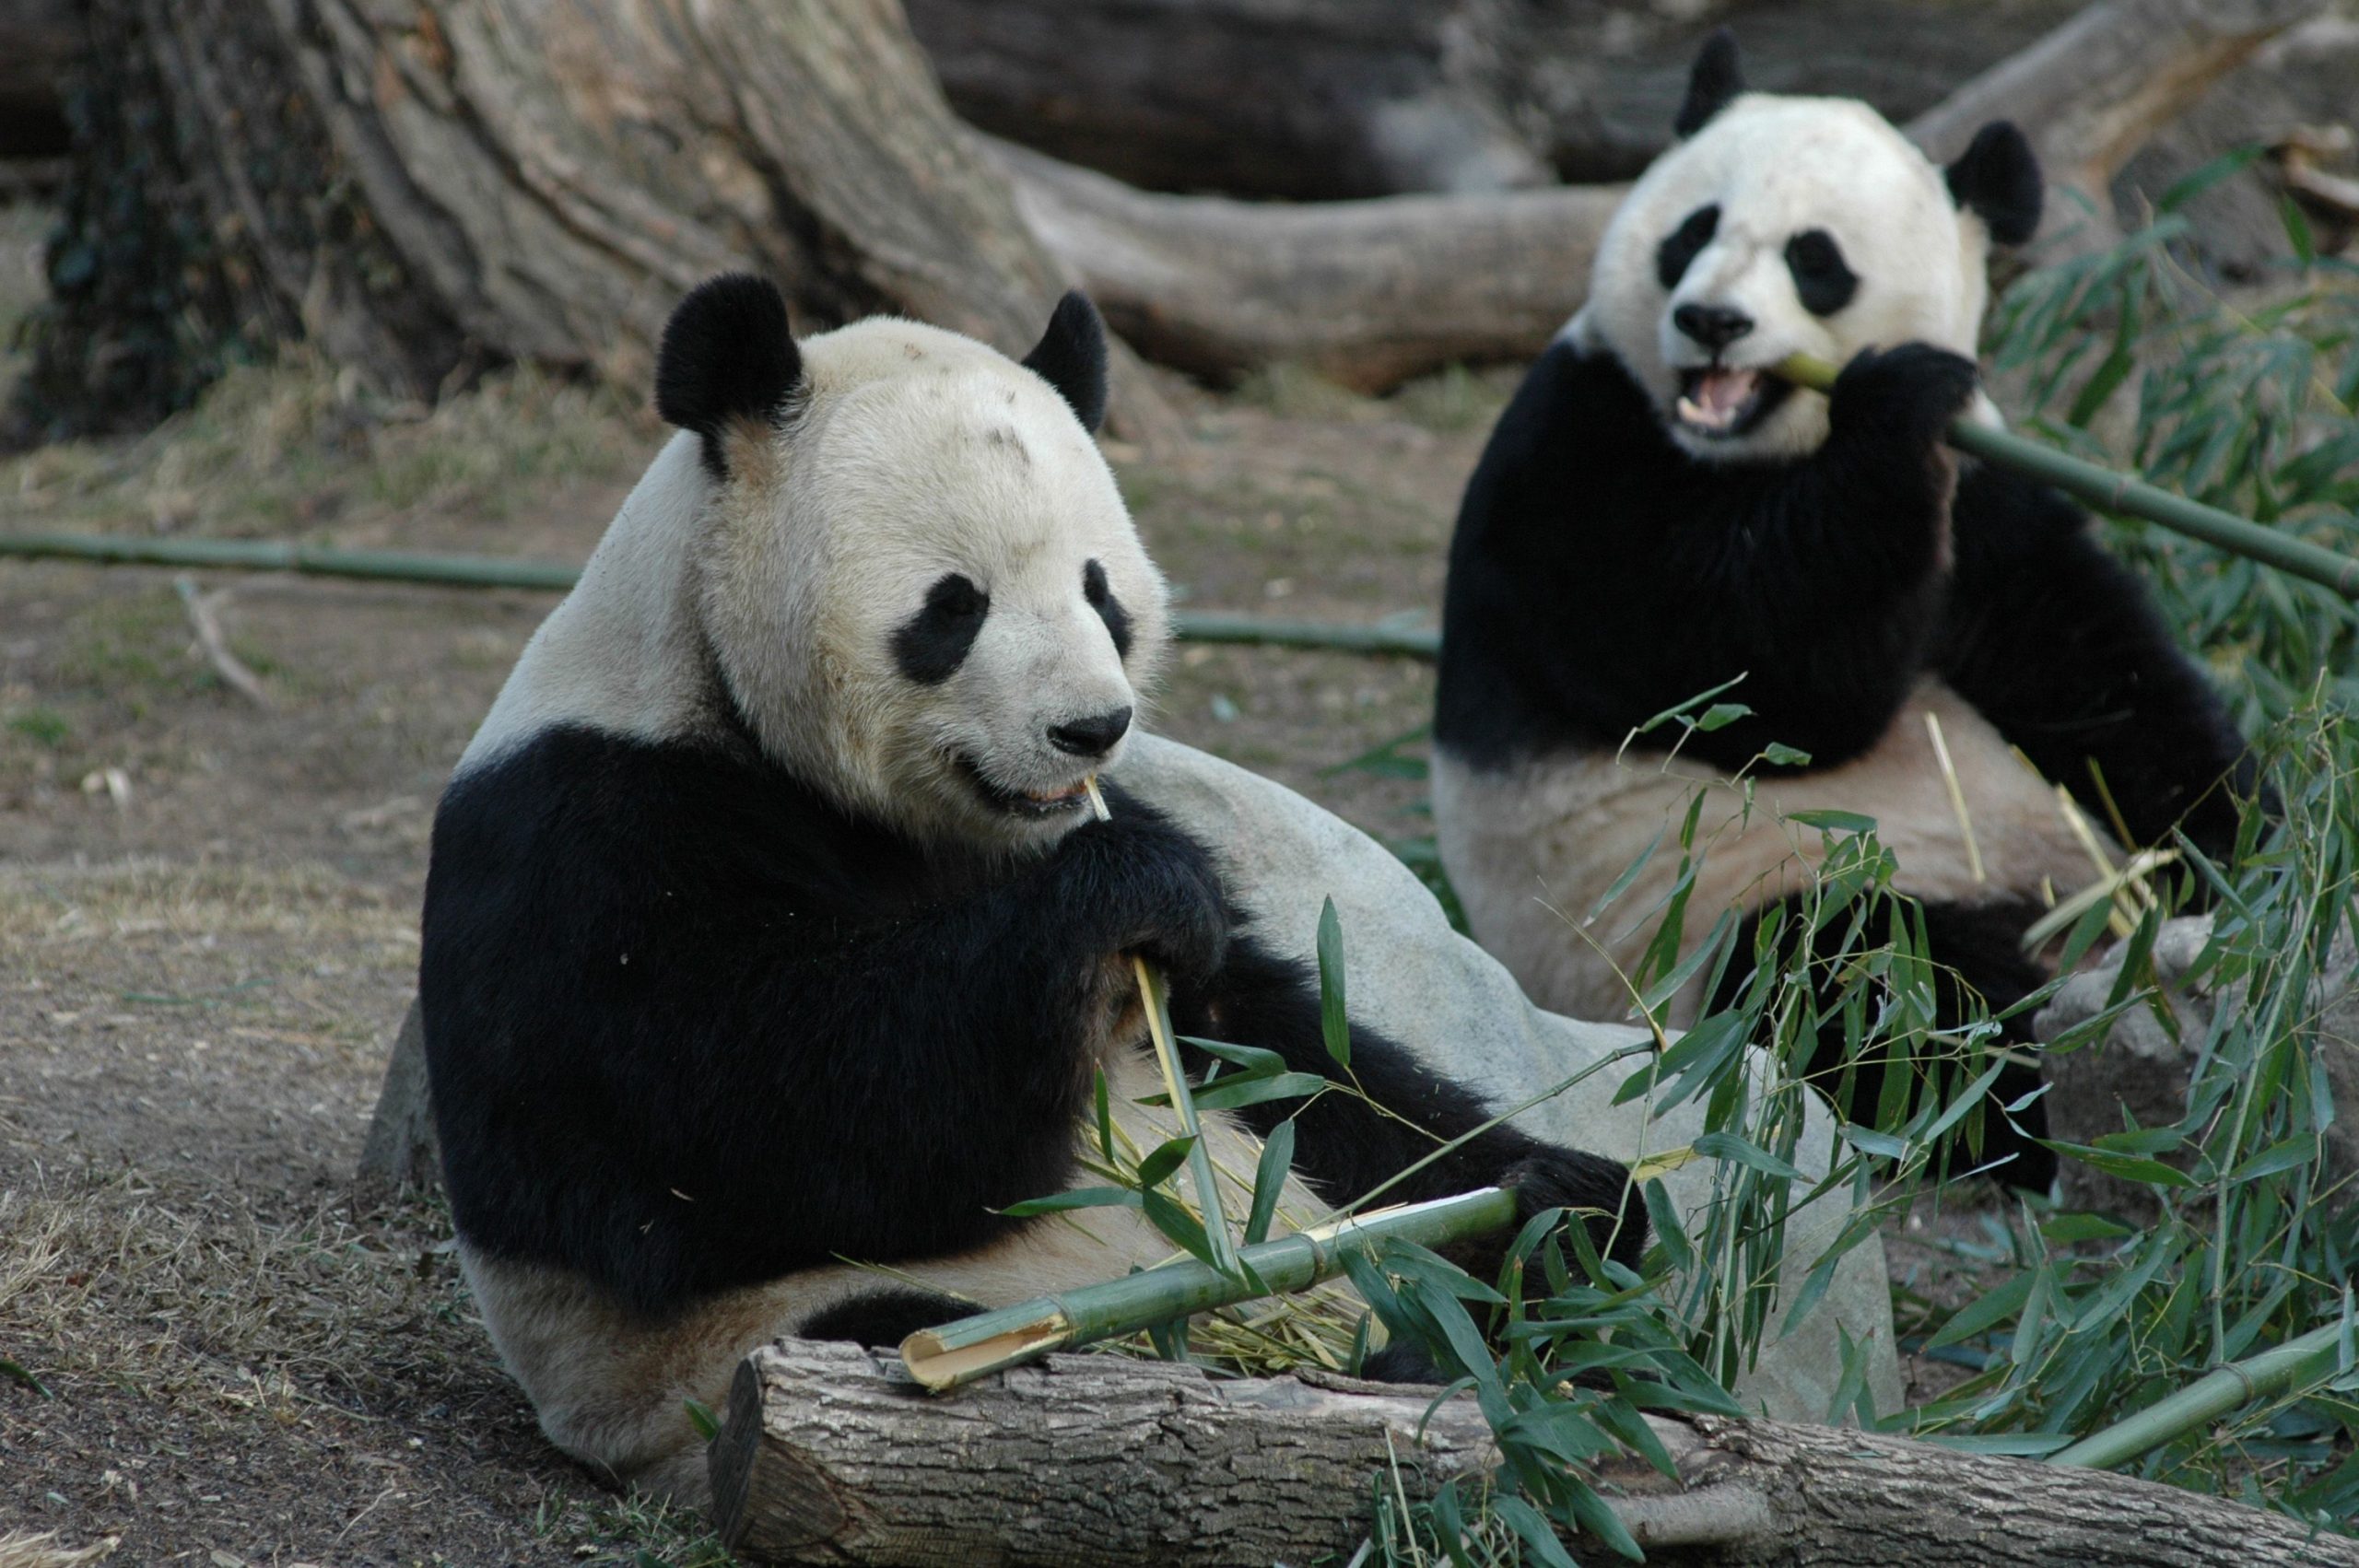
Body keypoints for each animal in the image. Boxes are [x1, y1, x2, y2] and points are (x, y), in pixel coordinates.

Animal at [424, 272, 1641, 1509]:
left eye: (1101, 592)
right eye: (954, 604)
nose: (1090, 727)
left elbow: (1302, 1064)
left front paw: (1571, 1195)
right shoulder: (588, 838)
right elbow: (763, 1113)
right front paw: (1117, 898)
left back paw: (1547, 1255)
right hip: (717, 1359)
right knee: (928, 1327)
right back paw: (1391, 1356)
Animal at [1425, 33, 2255, 1188]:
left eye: (1814, 259)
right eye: (1693, 232)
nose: (1711, 321)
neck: (1766, 451)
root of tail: (2064, 925)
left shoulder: (1984, 495)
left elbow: (2089, 669)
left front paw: (2250, 850)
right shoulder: (1572, 453)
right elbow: (1755, 682)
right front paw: (1895, 400)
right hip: (1726, 904)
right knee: (1871, 981)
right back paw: (2039, 1094)